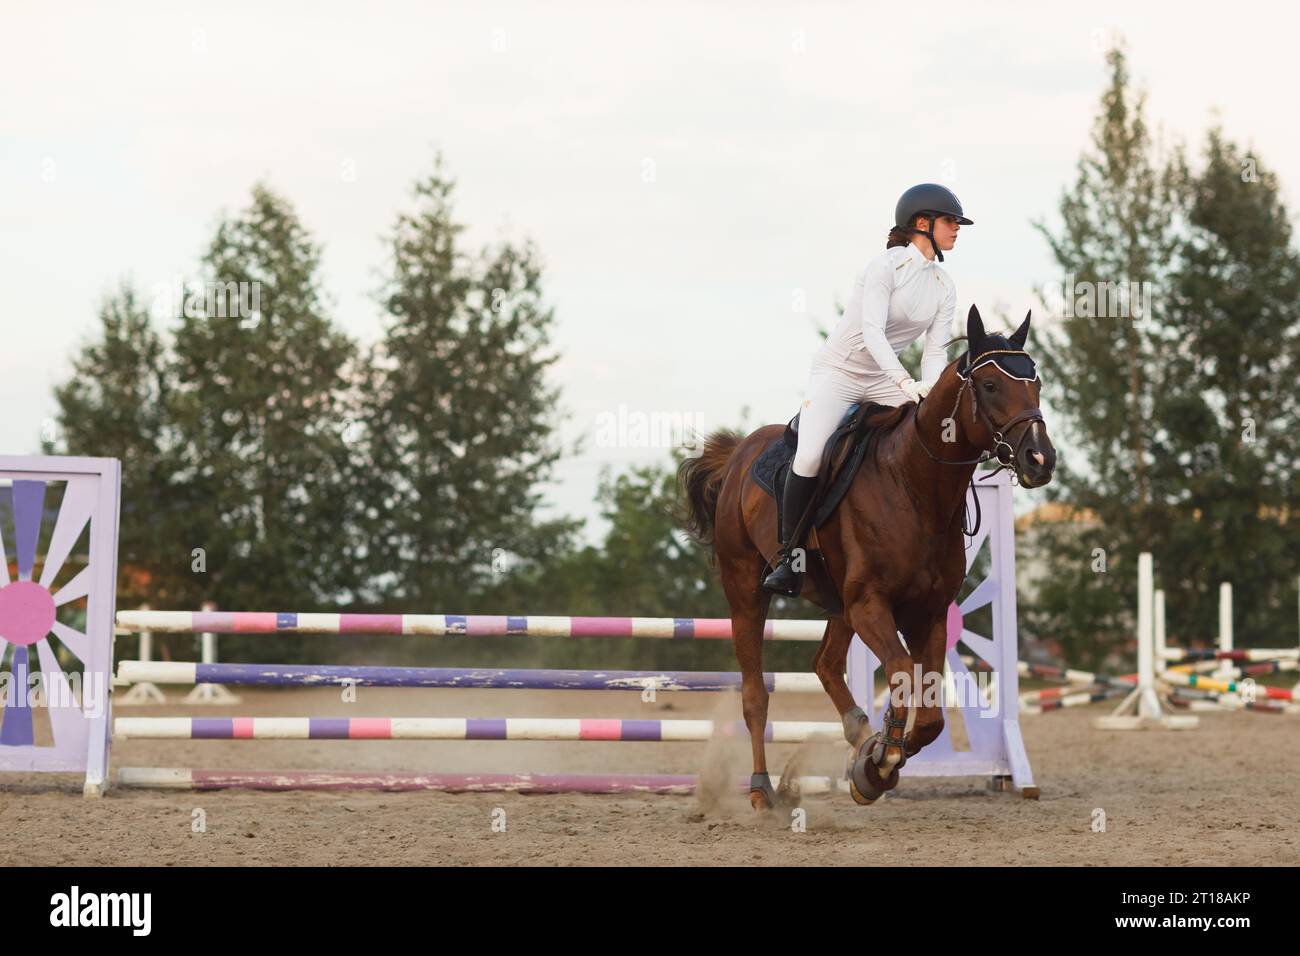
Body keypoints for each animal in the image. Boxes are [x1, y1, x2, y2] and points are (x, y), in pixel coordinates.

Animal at [678, 305, 1055, 808]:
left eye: (1037, 383)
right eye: (991, 385)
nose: (1041, 459)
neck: (915, 487)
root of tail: (739, 451)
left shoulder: (927, 612)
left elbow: (931, 715)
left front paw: (877, 760)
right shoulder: (871, 605)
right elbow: (900, 672)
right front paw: (881, 758)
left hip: (839, 603)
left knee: (825, 664)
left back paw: (859, 734)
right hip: (748, 593)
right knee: (755, 693)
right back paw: (761, 790)